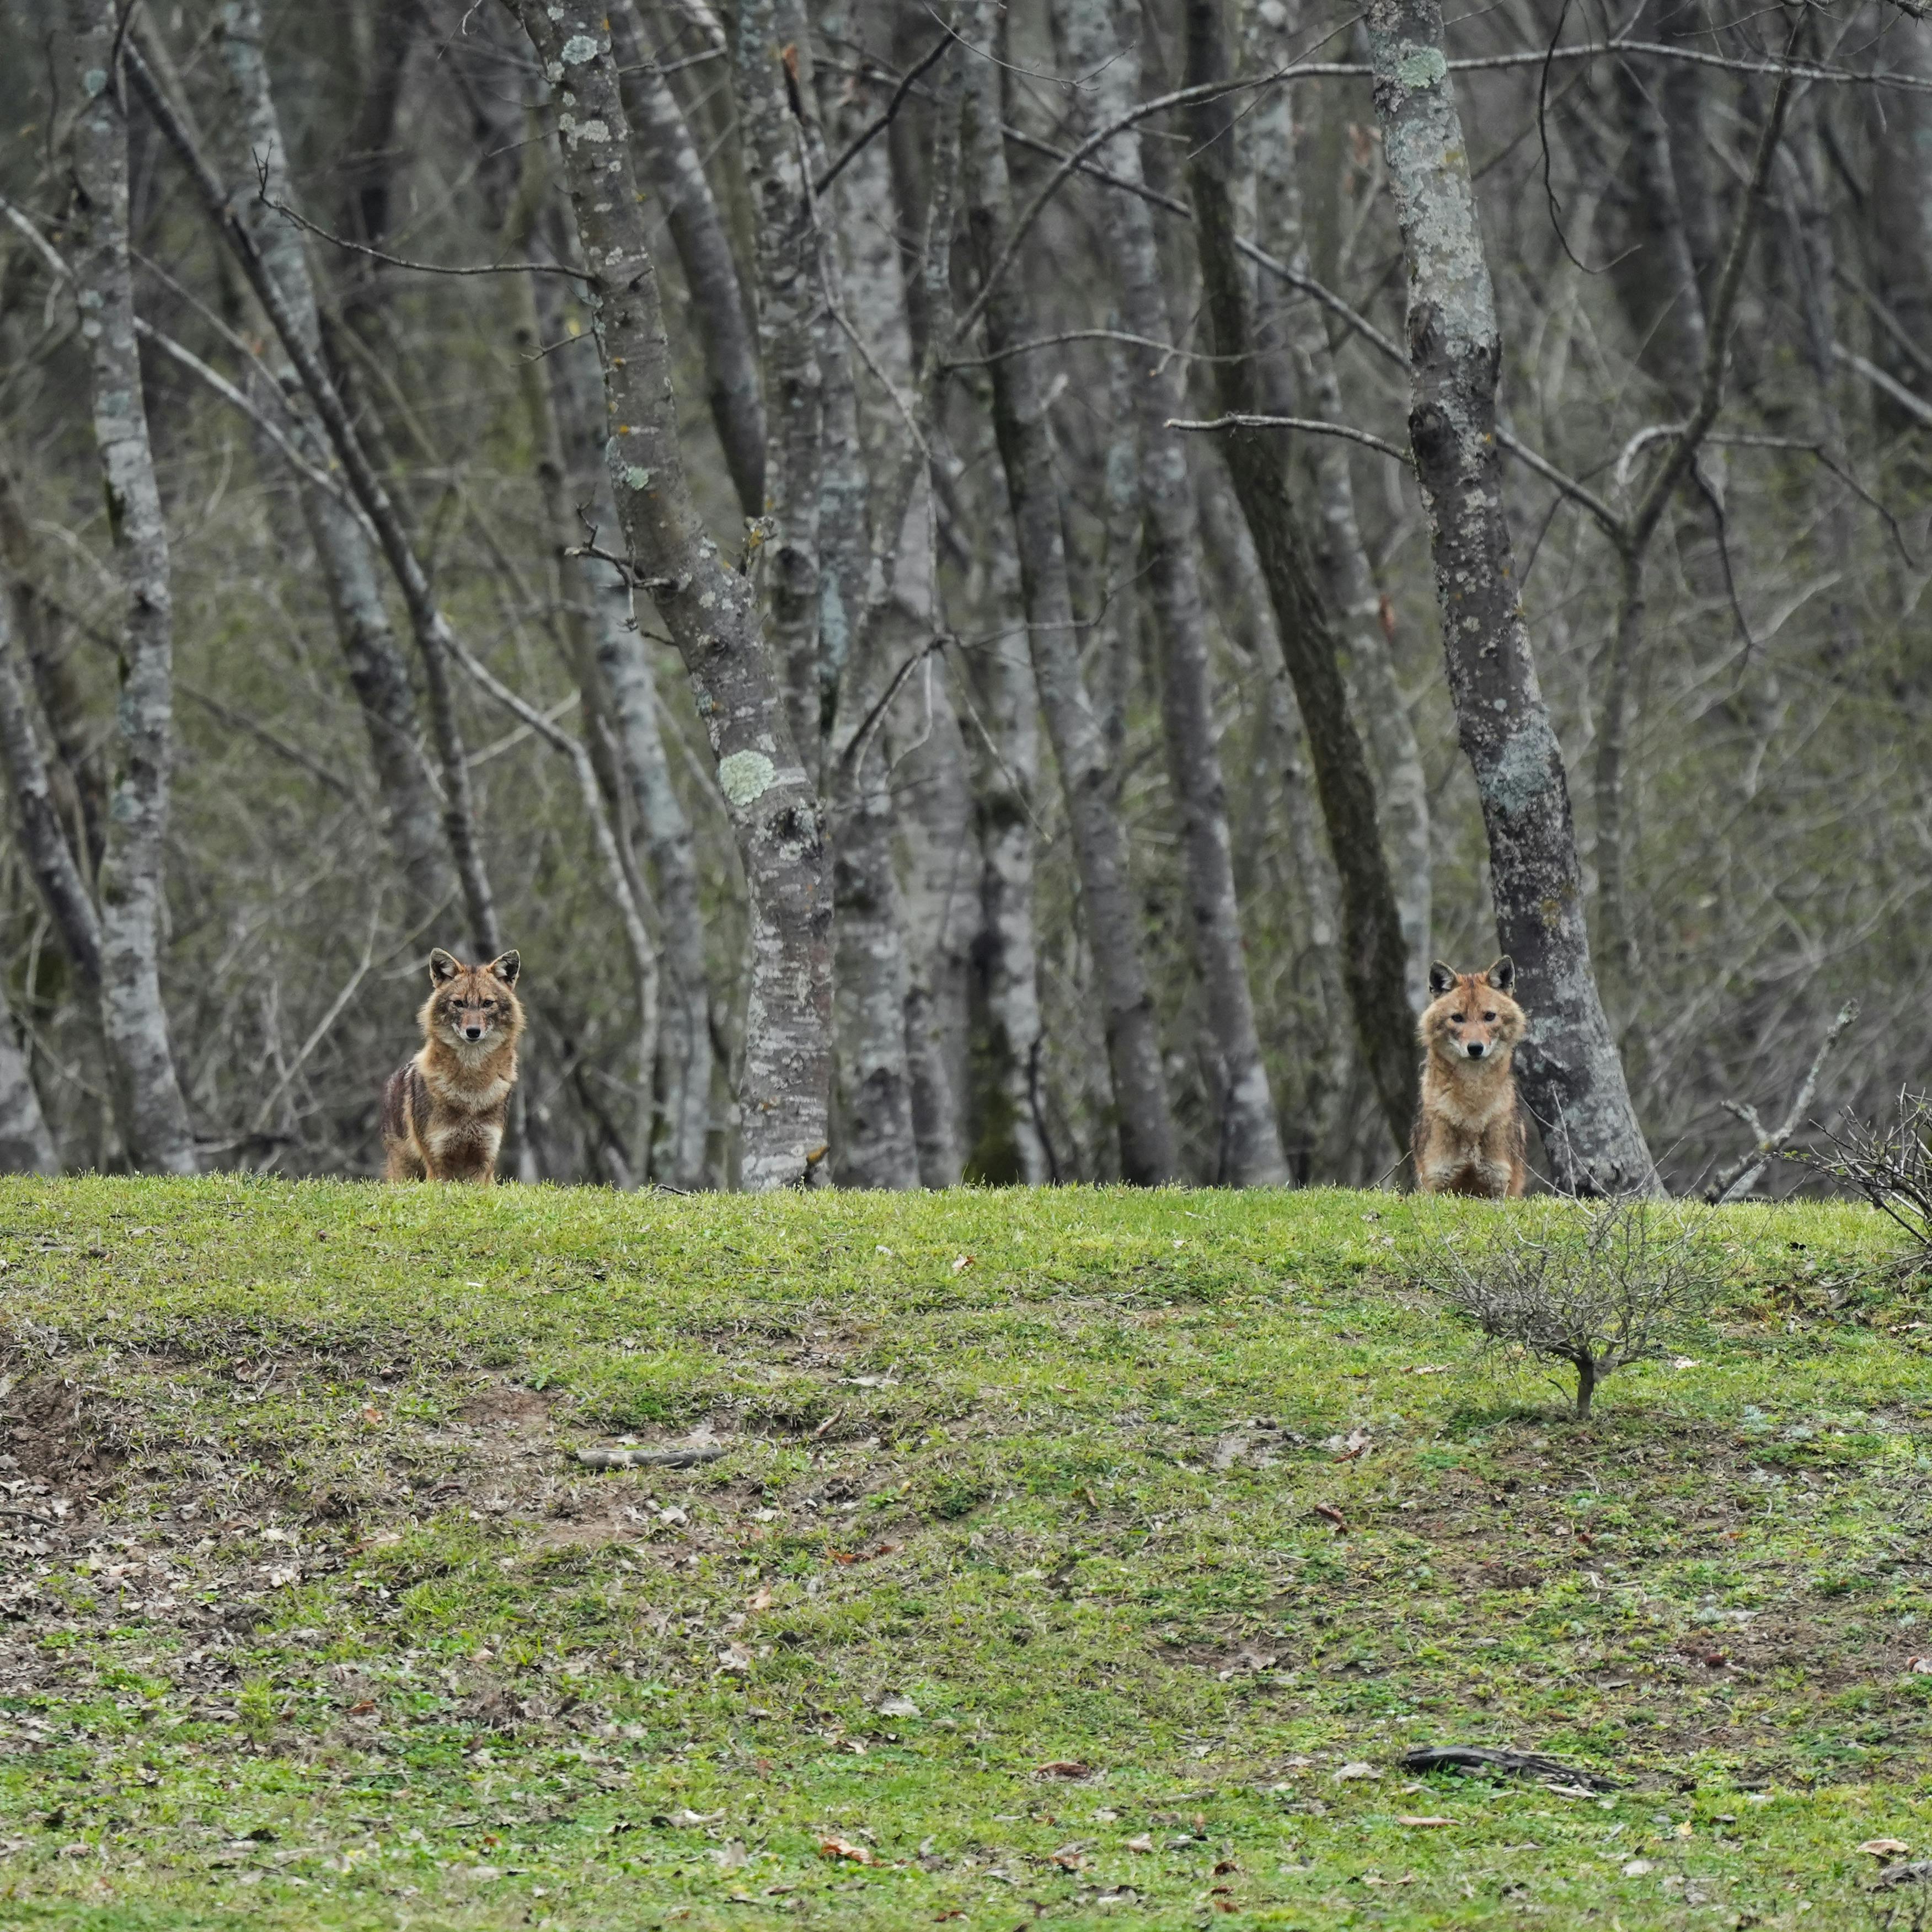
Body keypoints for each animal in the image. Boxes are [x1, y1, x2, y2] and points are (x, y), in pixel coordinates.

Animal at [380, 949, 524, 1182]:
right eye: (459, 1003)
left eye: (487, 1003)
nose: (473, 1032)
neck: (471, 1092)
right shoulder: (438, 1164)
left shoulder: (484, 1163)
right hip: (404, 1171)